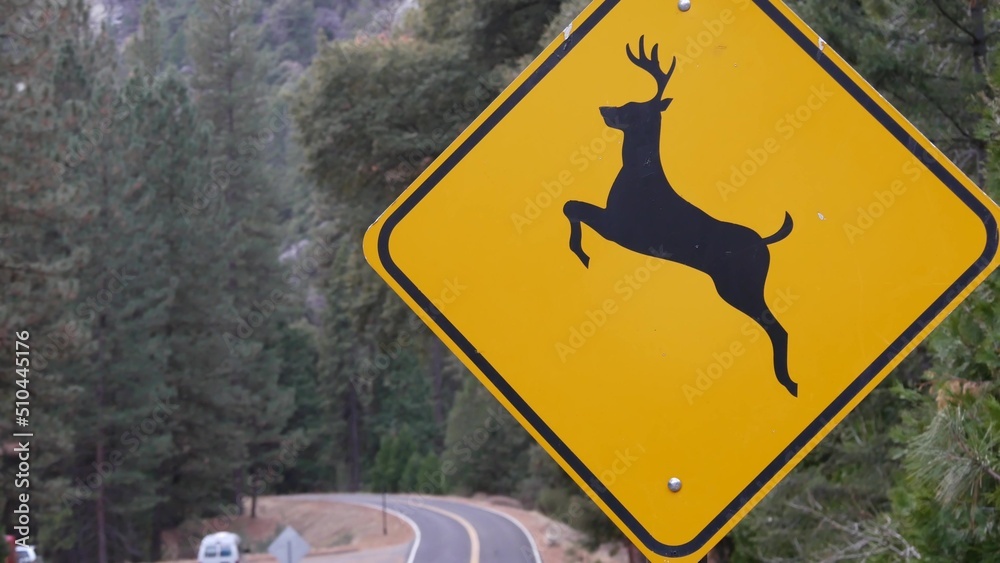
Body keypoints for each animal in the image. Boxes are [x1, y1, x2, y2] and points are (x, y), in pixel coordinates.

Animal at [562, 37, 798, 397]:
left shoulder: (618, 226)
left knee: (777, 328)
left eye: (632, 107)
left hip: (740, 285)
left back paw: (788, 383)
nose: (604, 109)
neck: (638, 174)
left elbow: (571, 206)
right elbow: (571, 205)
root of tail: (765, 242)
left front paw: (582, 253)